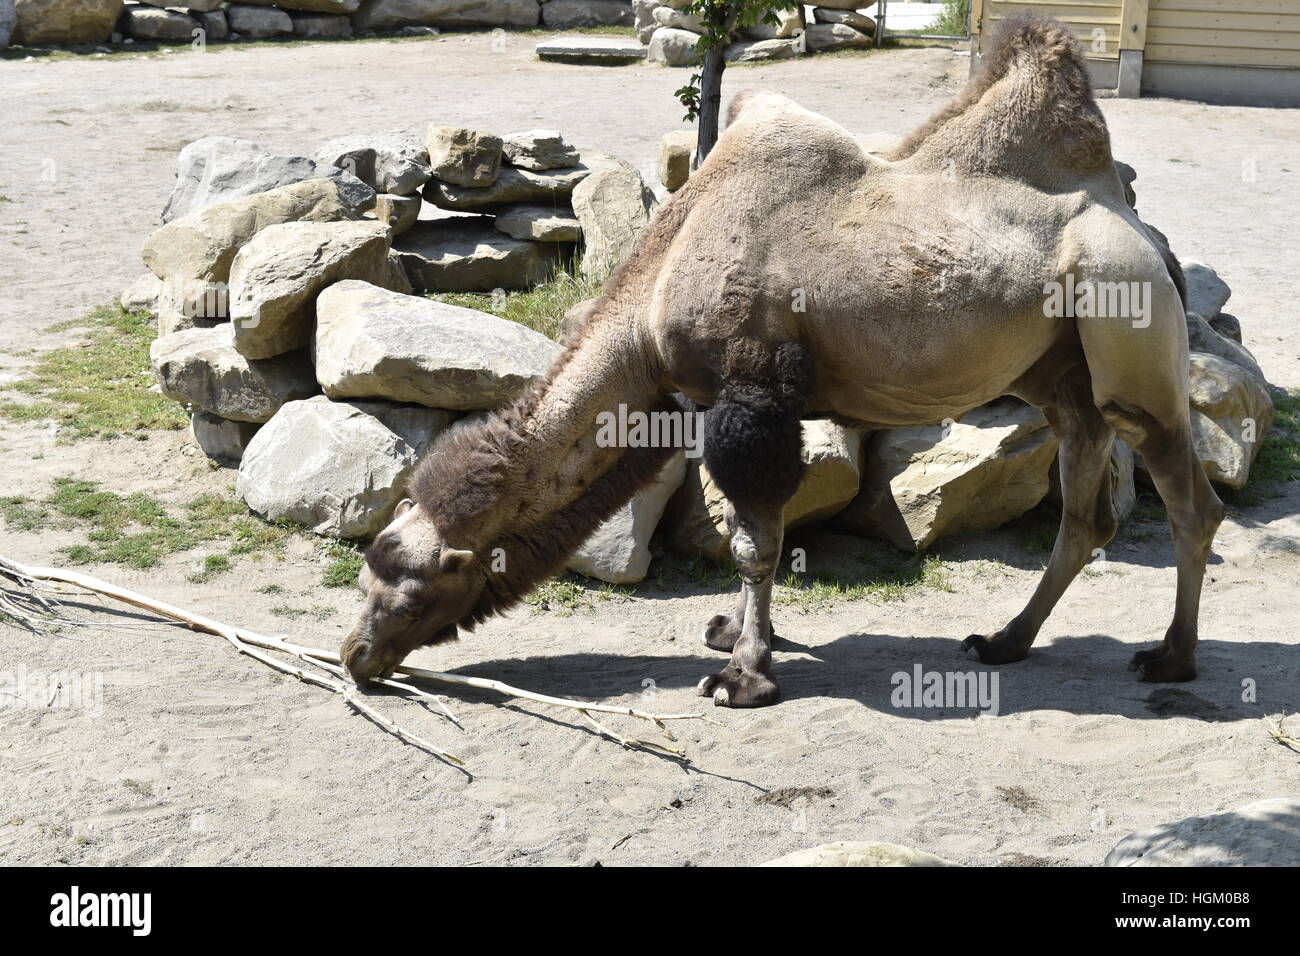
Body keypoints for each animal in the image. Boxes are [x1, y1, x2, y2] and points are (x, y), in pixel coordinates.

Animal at [341, 14, 1224, 708]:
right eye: (370, 571)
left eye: (410, 589)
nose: (355, 657)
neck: (653, 297)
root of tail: (1145, 236)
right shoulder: (730, 401)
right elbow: (755, 524)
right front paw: (733, 632)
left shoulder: (752, 388)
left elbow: (754, 541)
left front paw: (745, 675)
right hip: (1063, 373)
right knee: (1085, 510)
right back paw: (1005, 641)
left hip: (1129, 327)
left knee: (1189, 500)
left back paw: (1171, 660)